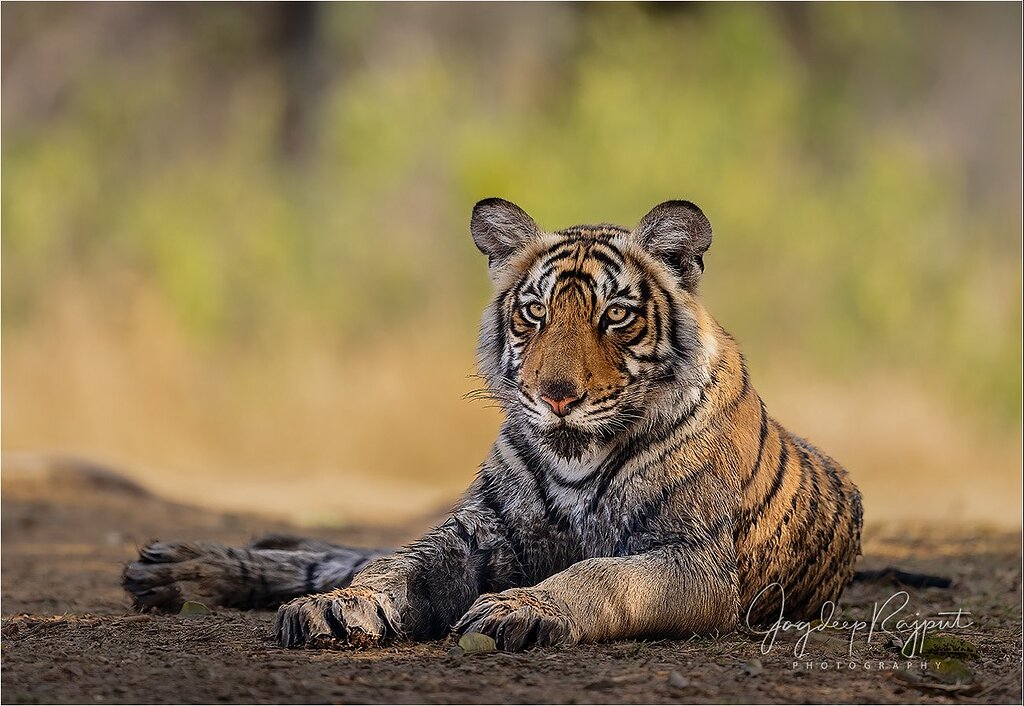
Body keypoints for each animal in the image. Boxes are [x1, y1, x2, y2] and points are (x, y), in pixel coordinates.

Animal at [123, 198, 863, 652]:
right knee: (338, 555)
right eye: (535, 312)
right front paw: (339, 606)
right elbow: (394, 565)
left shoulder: (691, 558)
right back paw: (179, 568)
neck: (577, 456)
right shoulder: (471, 535)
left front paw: (522, 608)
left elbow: (599, 575)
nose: (556, 396)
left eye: (614, 316)